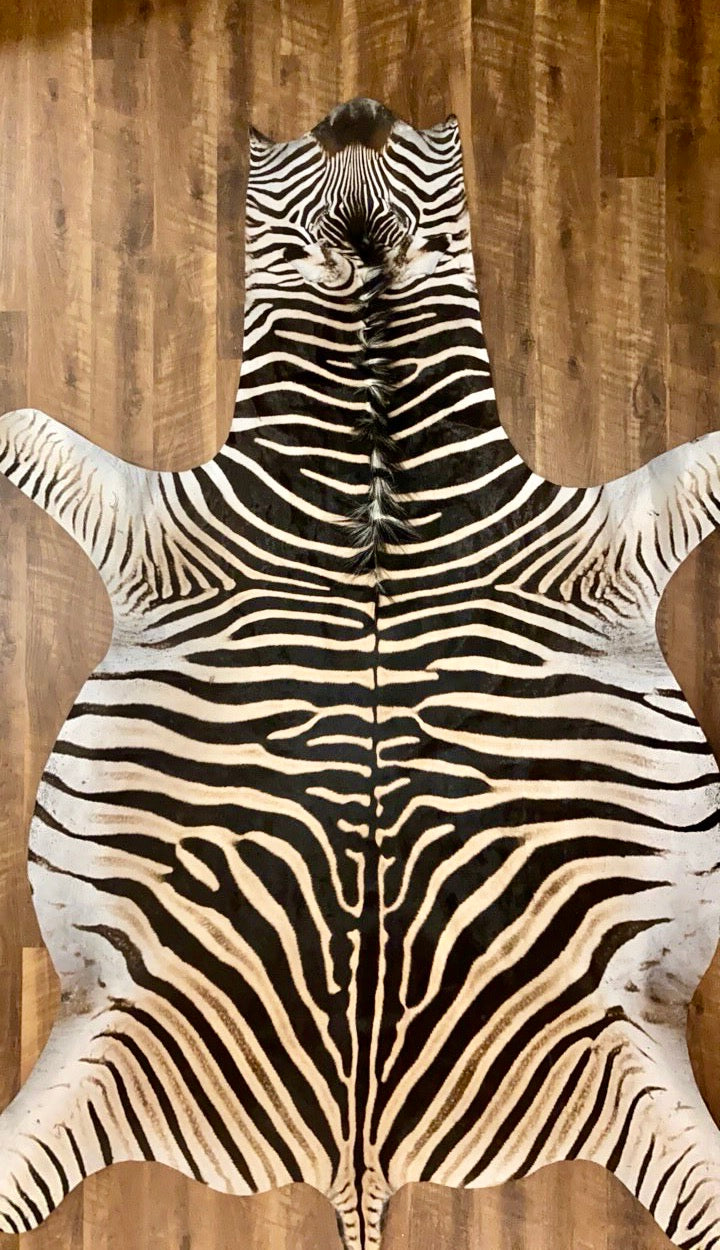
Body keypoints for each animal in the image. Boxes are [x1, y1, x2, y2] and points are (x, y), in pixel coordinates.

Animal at [1, 94, 720, 1250]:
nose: (356, 106)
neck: (372, 440)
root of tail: (360, 1157)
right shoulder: (162, 531)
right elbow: (28, 428)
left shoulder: (606, 542)